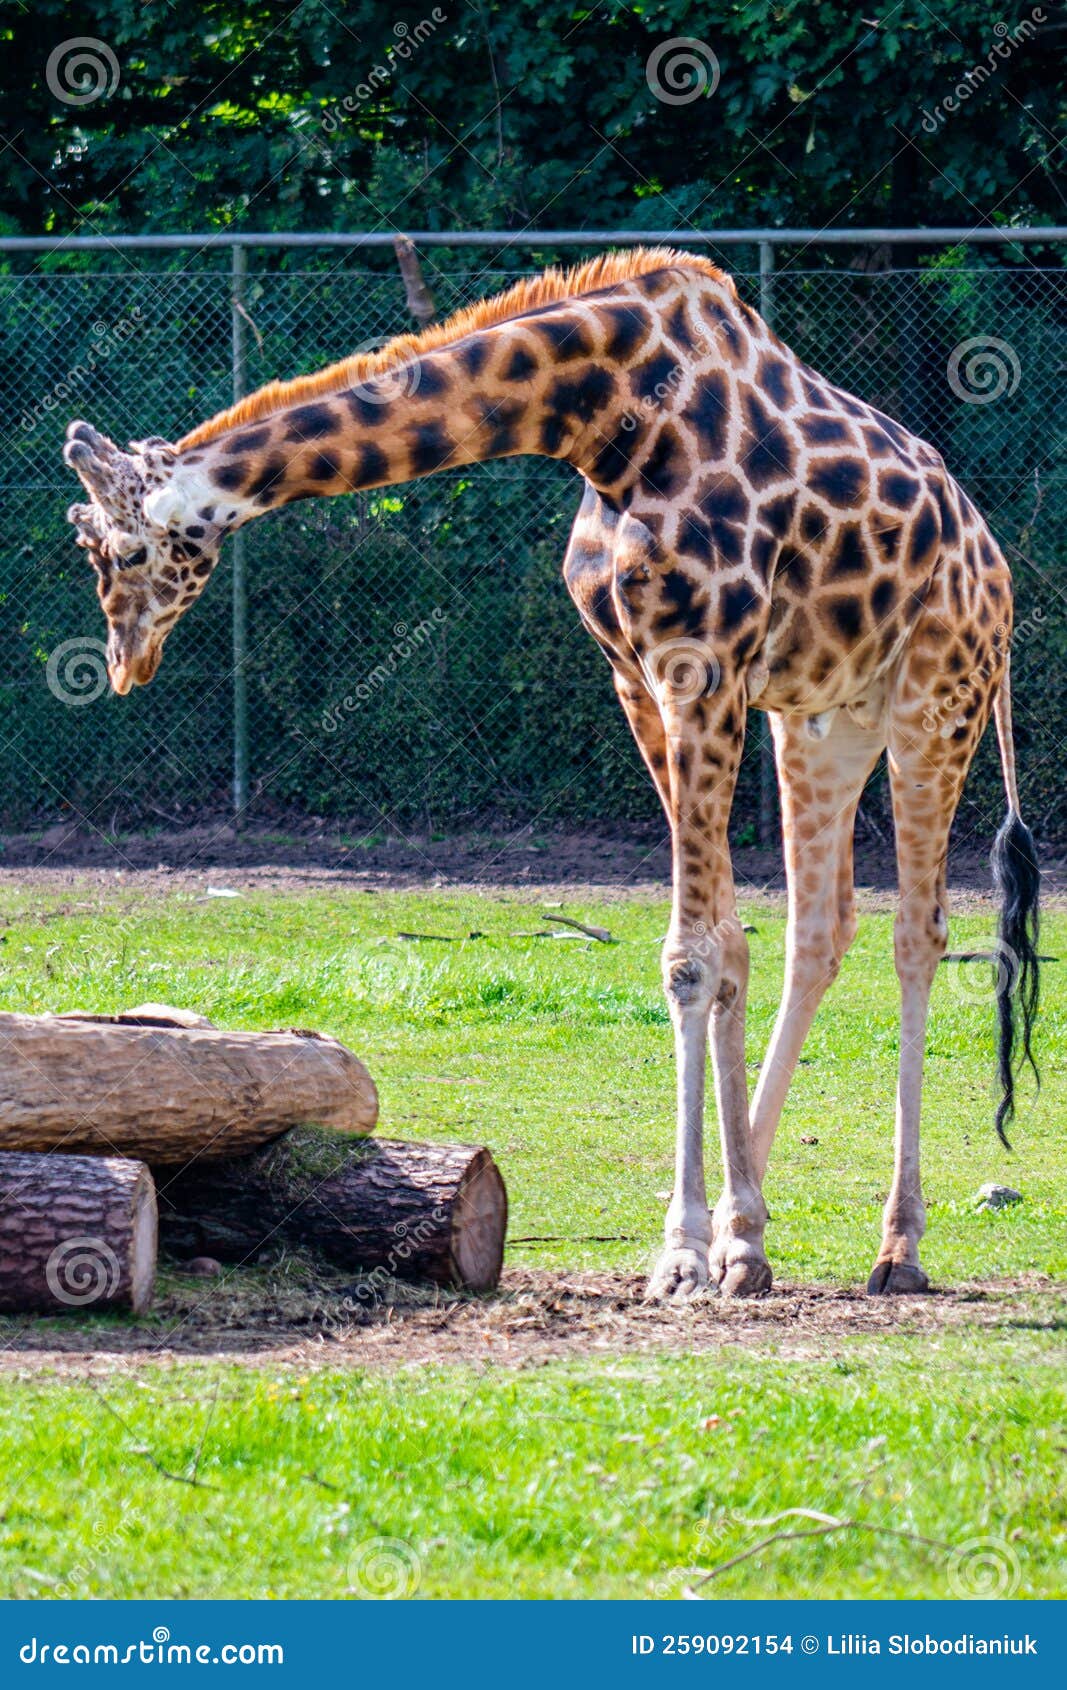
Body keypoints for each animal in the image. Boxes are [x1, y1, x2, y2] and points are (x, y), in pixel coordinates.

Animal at [63, 248, 1040, 1300]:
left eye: (127, 548)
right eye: (93, 553)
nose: (123, 662)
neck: (605, 421)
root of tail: (995, 569)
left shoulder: (700, 666)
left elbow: (692, 955)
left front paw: (688, 1251)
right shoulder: (638, 678)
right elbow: (721, 946)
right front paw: (724, 1239)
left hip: (935, 703)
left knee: (917, 933)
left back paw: (898, 1248)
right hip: (821, 725)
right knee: (818, 931)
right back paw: (759, 1213)